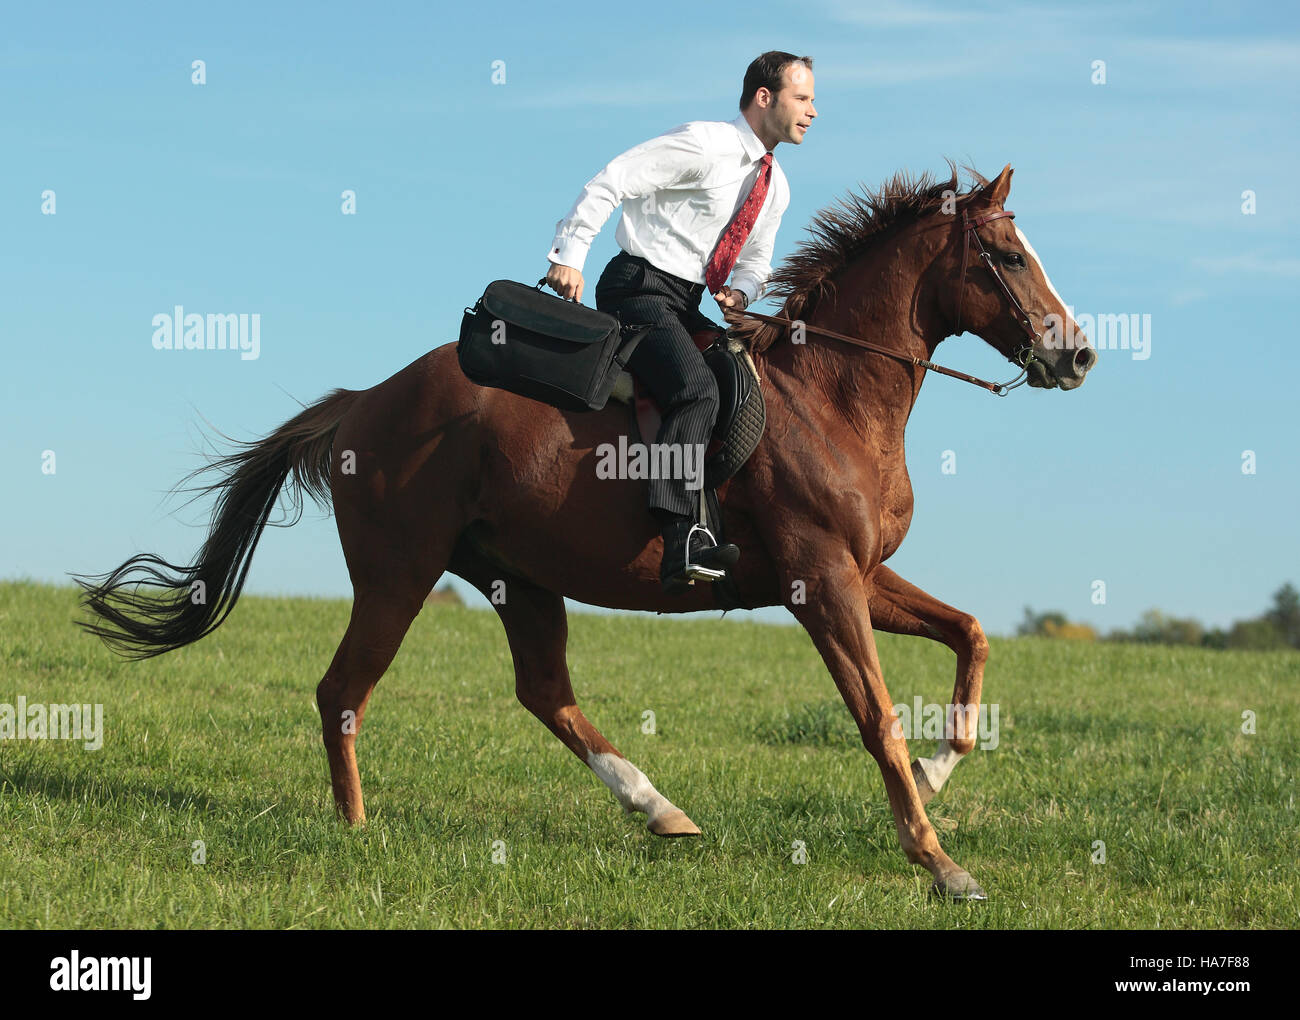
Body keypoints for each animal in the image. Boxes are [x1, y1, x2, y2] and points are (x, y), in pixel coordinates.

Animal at [77, 162, 1096, 900]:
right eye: (1007, 257)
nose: (1077, 352)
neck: (834, 398)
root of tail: (366, 400)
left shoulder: (861, 575)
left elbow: (970, 638)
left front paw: (938, 771)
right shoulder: (825, 583)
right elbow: (877, 714)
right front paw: (941, 863)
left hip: (518, 577)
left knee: (543, 691)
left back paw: (657, 809)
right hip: (399, 574)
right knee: (343, 691)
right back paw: (357, 829)